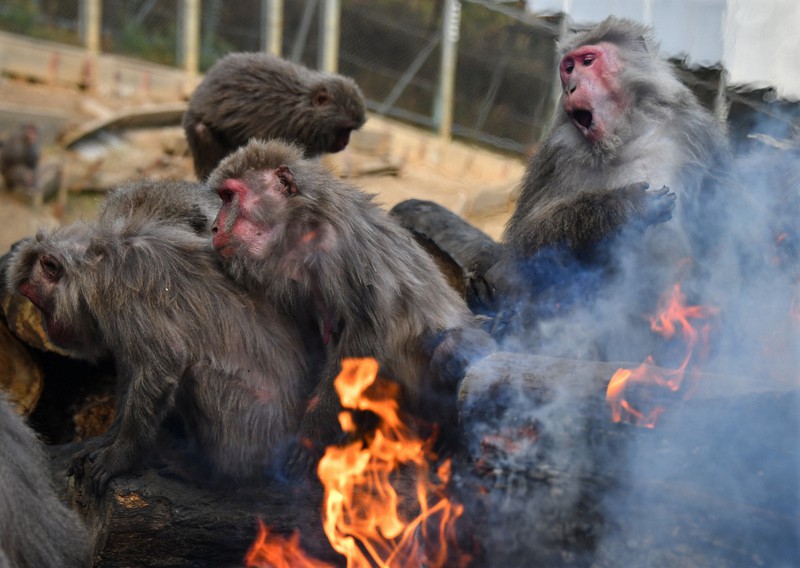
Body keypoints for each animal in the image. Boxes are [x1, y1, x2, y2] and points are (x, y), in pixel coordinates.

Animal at [6, 215, 313, 489]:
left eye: (38, 303)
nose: (45, 327)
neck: (96, 263)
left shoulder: (121, 294)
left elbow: (163, 363)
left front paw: (122, 456)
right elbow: (133, 371)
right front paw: (108, 439)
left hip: (264, 431)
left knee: (199, 376)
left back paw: (217, 475)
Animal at [183, 52, 367, 179]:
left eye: (350, 131)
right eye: (345, 129)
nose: (345, 142)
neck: (299, 107)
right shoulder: (275, 127)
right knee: (201, 130)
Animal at [206, 139, 496, 472]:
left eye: (230, 196)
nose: (214, 228)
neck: (302, 224)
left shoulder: (340, 248)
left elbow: (363, 339)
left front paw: (310, 437)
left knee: (449, 346)